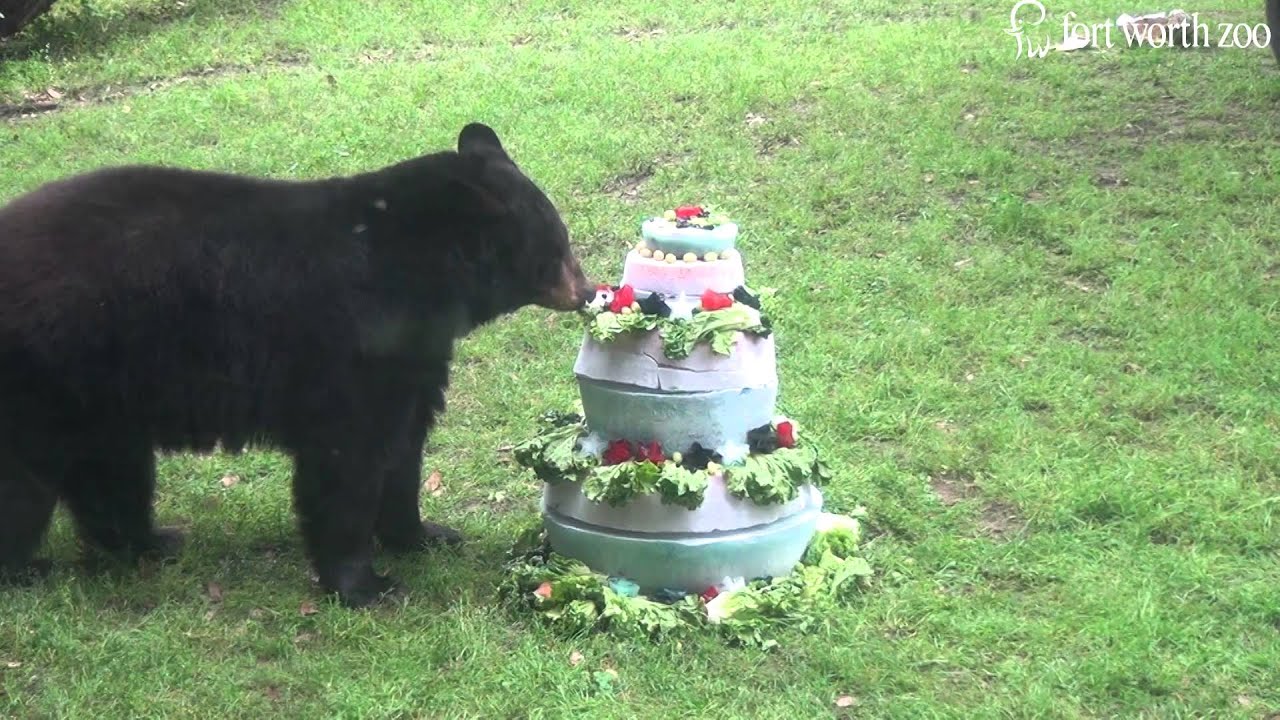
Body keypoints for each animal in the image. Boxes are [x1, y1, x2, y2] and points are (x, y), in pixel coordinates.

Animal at [0, 122, 594, 608]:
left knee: (111, 470)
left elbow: (404, 446)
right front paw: (364, 585)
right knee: (25, 487)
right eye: (558, 247)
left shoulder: (412, 355)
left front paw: (424, 535)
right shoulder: (350, 349)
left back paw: (151, 542)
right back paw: (31, 569)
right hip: (45, 371)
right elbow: (346, 461)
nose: (588, 292)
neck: (415, 273)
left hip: (99, 388)